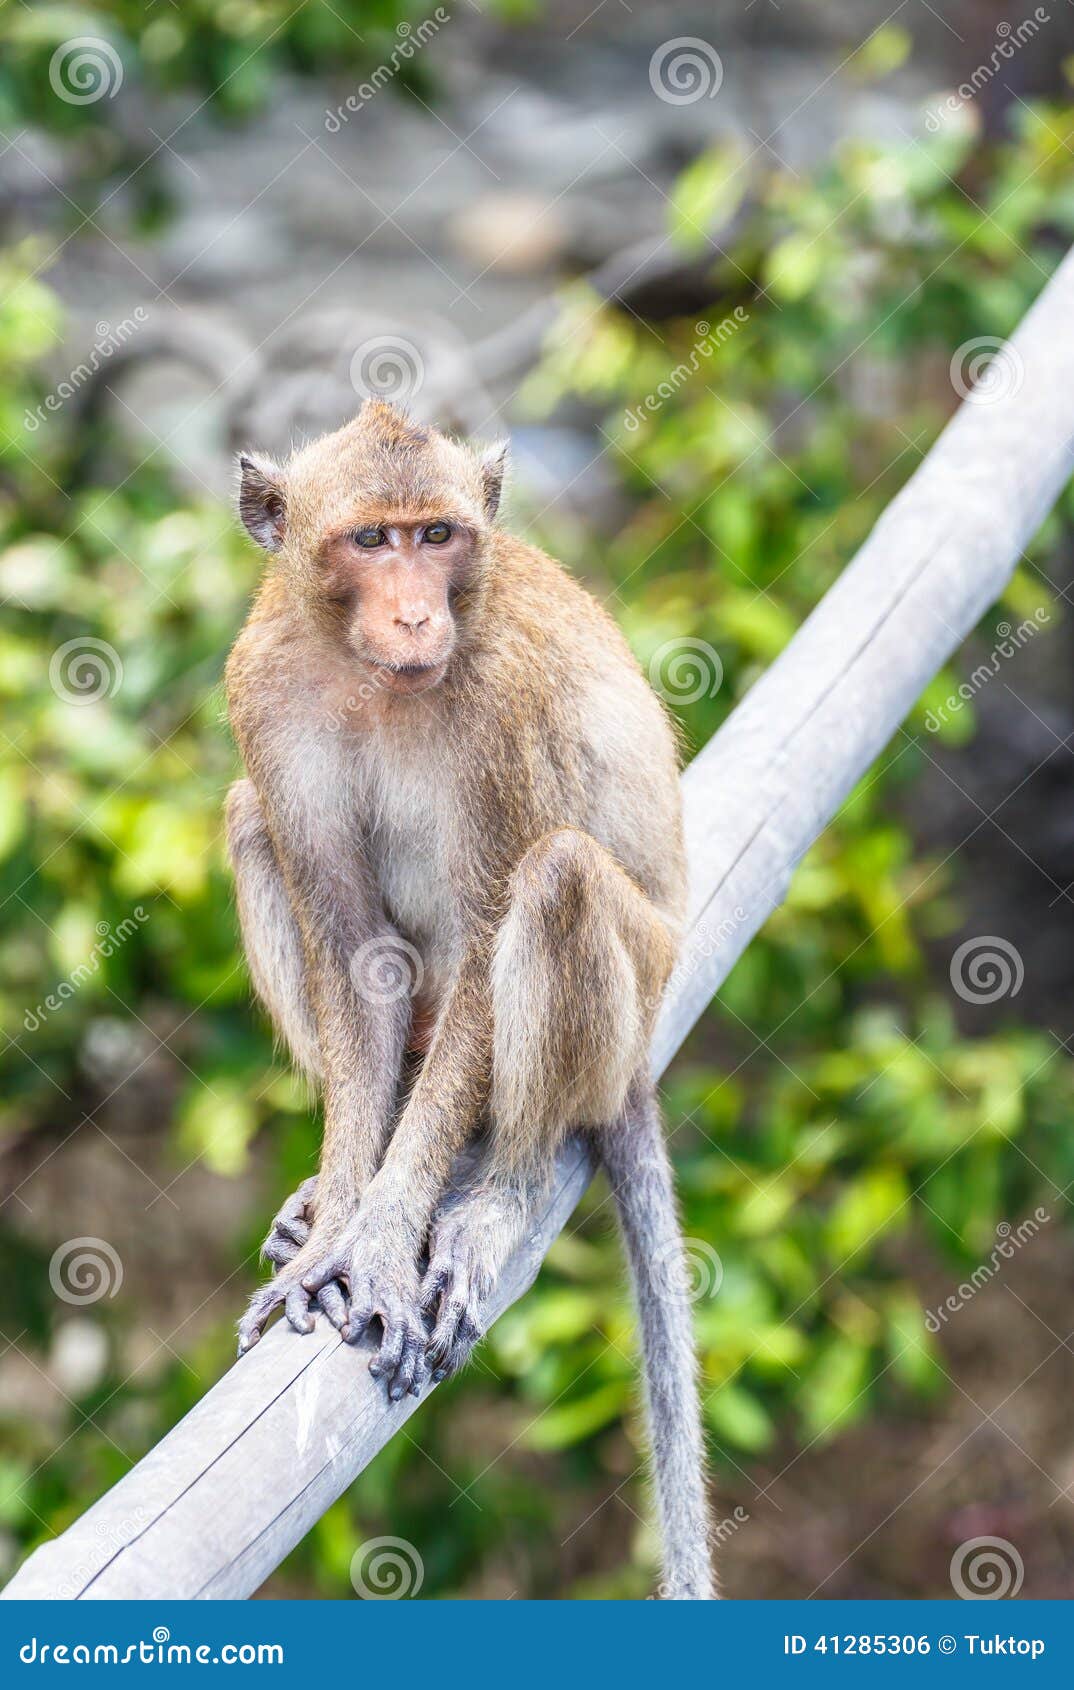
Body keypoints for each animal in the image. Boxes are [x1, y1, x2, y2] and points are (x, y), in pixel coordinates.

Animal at [225, 399, 714, 1599]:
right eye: (371, 539)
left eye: (436, 536)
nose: (414, 614)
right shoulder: (264, 687)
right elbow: (352, 949)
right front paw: (340, 1224)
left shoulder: (499, 708)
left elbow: (499, 919)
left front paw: (381, 1237)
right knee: (249, 816)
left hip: (635, 992)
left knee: (559, 876)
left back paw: (501, 1186)